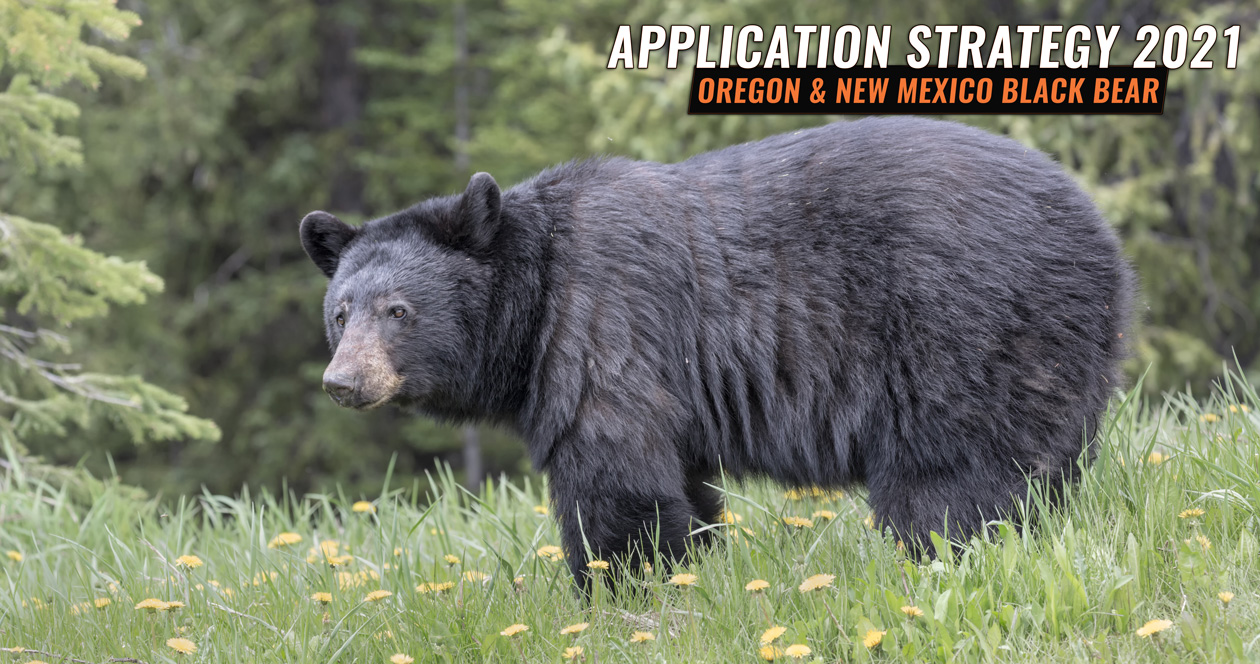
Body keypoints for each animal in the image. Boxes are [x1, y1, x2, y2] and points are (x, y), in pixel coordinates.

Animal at [300, 116, 1132, 589]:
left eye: (398, 310)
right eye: (340, 313)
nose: (343, 381)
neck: (532, 301)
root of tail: (1098, 231)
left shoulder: (605, 322)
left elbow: (614, 475)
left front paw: (624, 590)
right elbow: (681, 480)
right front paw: (688, 565)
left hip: (962, 326)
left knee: (949, 478)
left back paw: (940, 557)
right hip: (1058, 354)